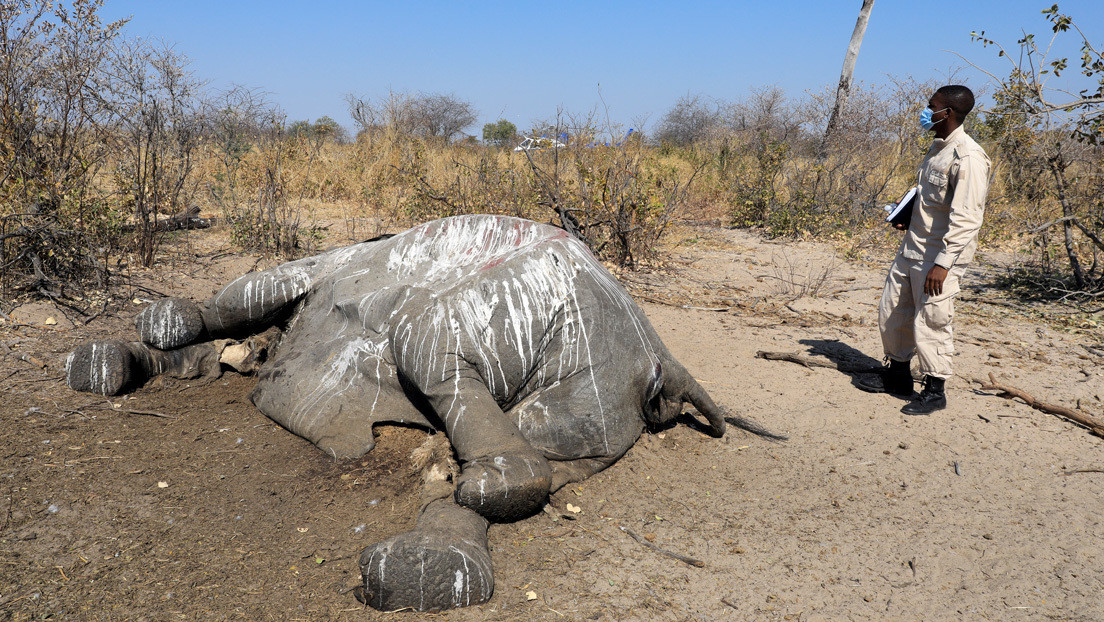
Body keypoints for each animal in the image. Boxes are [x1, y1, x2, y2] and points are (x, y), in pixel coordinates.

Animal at [65, 214, 781, 612]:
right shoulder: (470, 321)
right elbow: (442, 370)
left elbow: (504, 477)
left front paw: (429, 563)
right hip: (323, 266)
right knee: (244, 299)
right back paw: (122, 351)